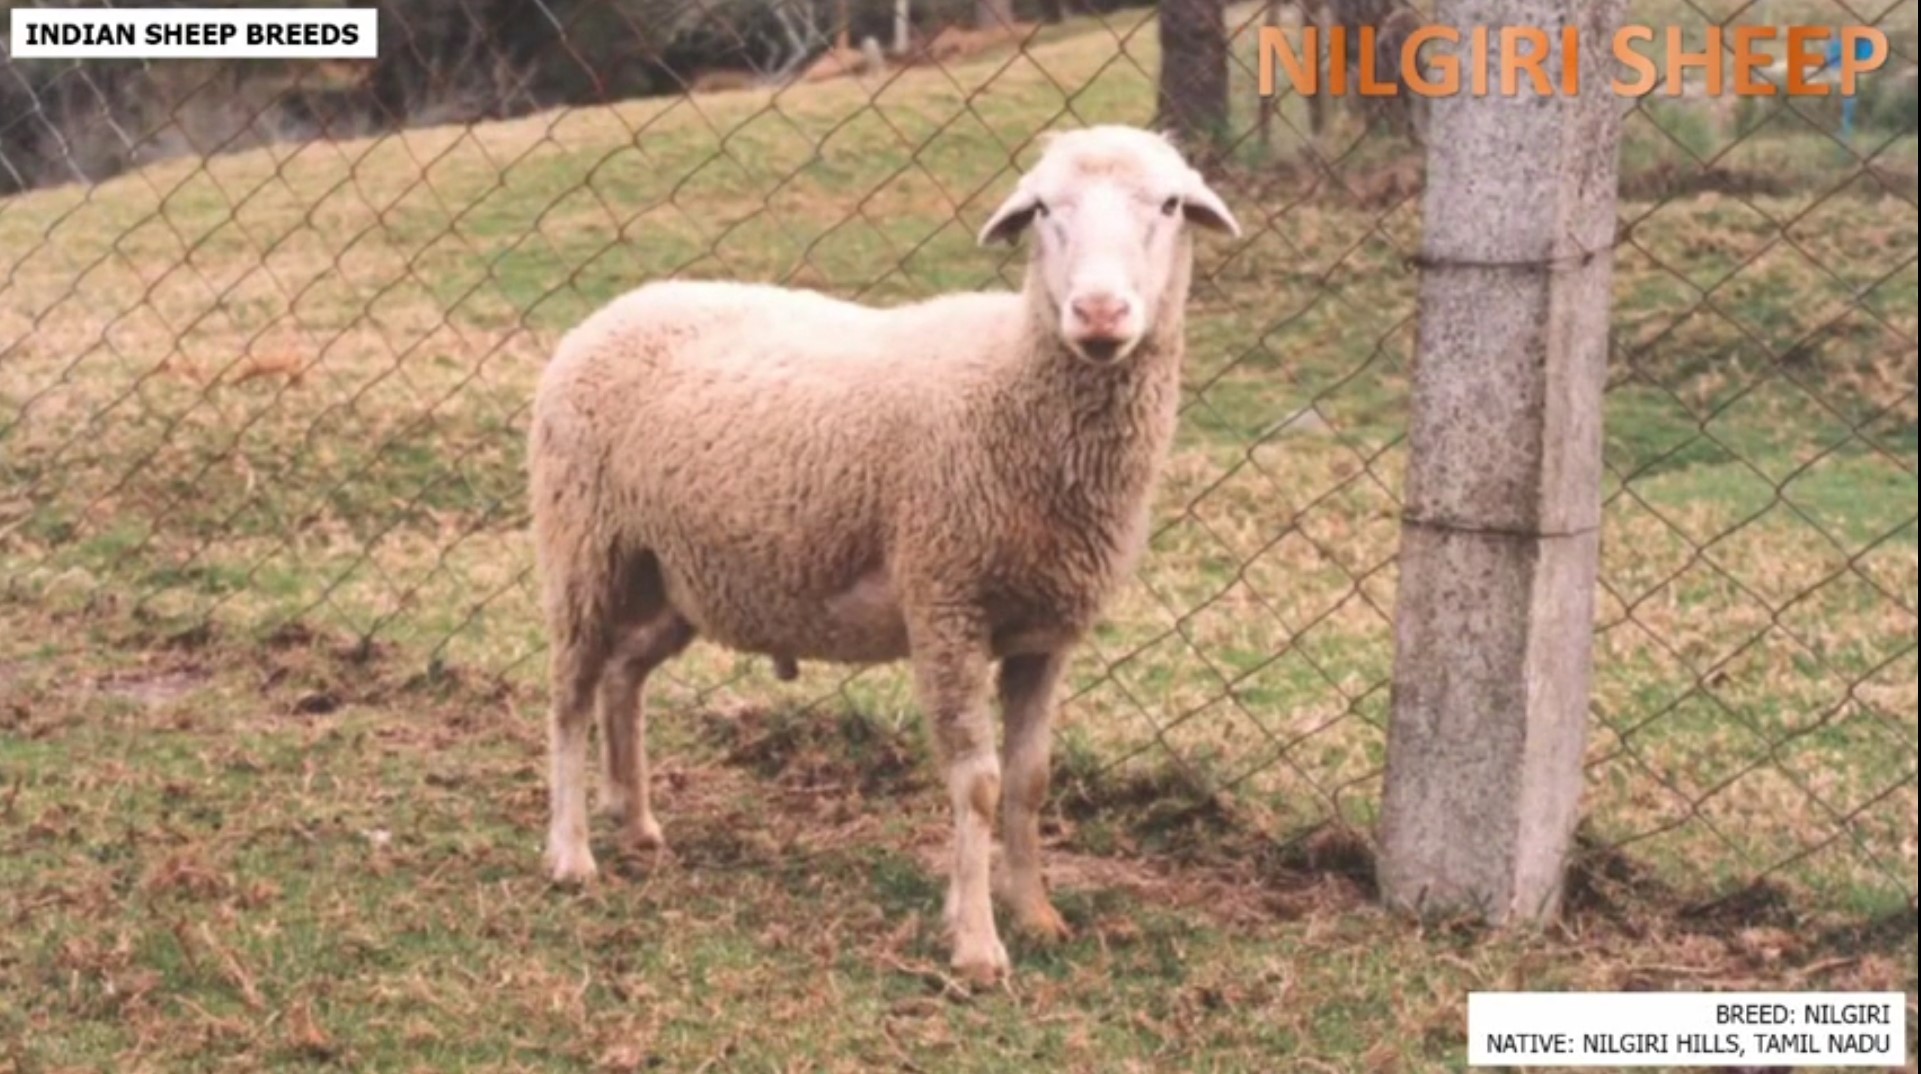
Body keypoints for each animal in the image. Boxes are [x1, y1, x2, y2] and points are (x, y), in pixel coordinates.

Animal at [527, 125, 1240, 983]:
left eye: (1168, 205)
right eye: (1042, 209)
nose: (1098, 312)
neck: (1014, 382)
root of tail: (610, 312)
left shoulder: (1044, 631)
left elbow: (1029, 782)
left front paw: (1034, 913)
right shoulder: (945, 598)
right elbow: (977, 783)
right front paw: (976, 944)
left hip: (678, 573)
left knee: (624, 677)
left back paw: (635, 821)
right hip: (583, 544)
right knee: (570, 692)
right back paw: (572, 854)